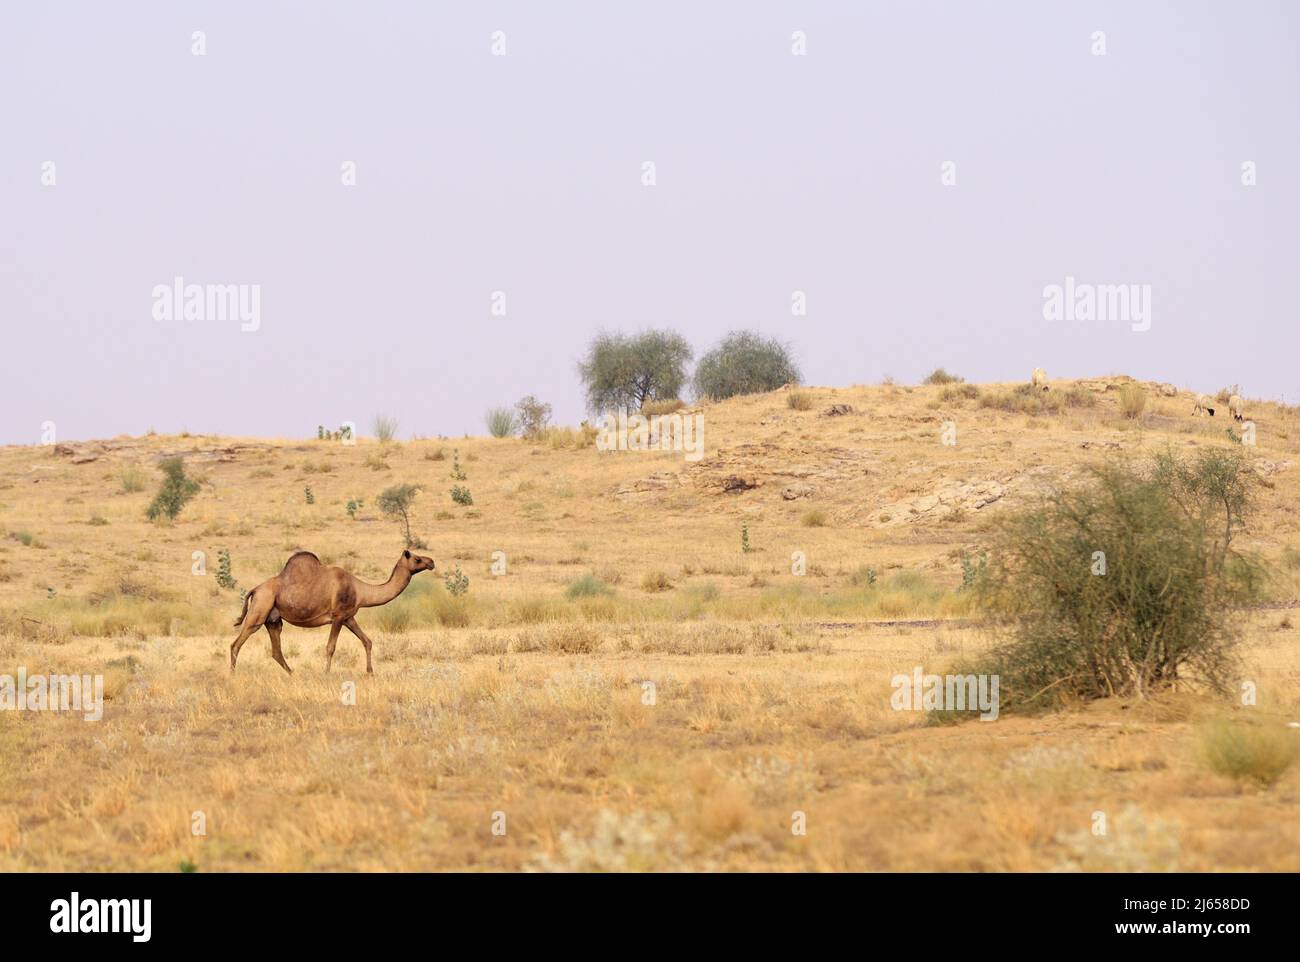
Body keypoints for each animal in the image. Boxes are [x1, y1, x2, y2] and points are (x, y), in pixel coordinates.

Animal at [230, 549, 435, 674]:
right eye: (417, 558)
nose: (432, 562)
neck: (360, 590)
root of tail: (255, 589)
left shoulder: (348, 617)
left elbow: (367, 641)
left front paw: (370, 672)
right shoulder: (337, 616)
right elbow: (330, 647)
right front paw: (326, 672)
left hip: (273, 620)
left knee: (276, 650)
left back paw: (293, 674)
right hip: (259, 609)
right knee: (236, 644)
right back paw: (232, 674)